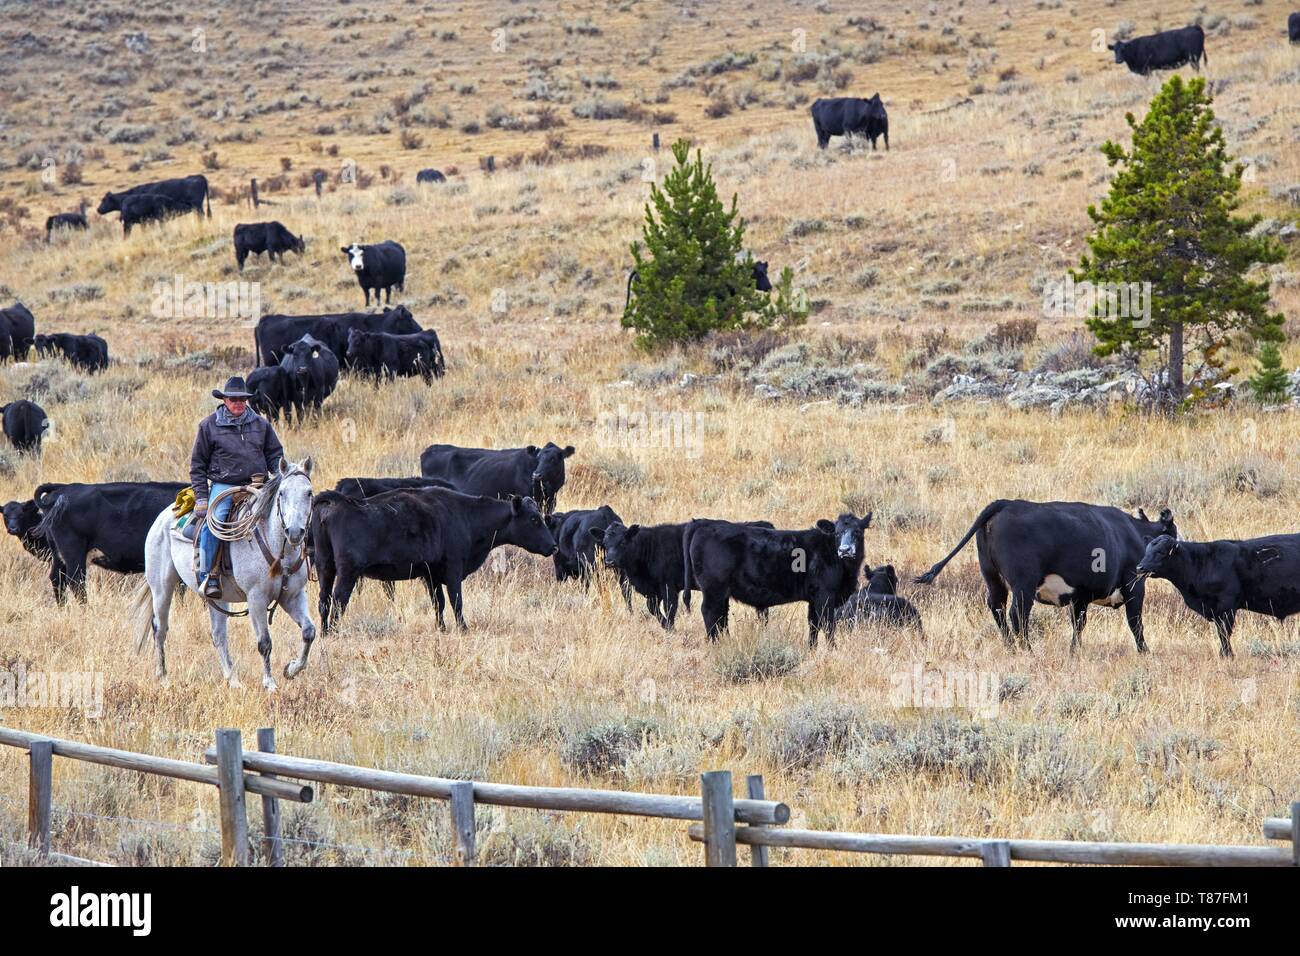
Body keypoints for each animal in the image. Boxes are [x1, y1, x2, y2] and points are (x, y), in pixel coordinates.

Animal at [311, 487, 557, 632]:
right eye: (534, 519)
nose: (553, 546)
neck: (465, 515)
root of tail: (337, 501)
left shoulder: (431, 575)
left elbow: (438, 602)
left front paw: (442, 628)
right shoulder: (453, 569)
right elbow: (456, 601)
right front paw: (463, 628)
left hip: (325, 567)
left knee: (324, 600)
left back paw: (324, 633)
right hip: (347, 572)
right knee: (338, 600)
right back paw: (333, 632)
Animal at [684, 514, 872, 646]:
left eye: (858, 532)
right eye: (837, 533)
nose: (845, 550)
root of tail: (703, 523)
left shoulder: (814, 598)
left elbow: (813, 625)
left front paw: (812, 650)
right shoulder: (825, 595)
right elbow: (828, 625)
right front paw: (833, 650)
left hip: (722, 593)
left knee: (721, 618)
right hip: (713, 589)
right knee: (710, 613)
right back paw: (715, 645)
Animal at [915, 500, 1177, 653]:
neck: (1134, 533)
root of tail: (1007, 503)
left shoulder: (1080, 596)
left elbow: (1079, 624)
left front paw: (1074, 652)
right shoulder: (1134, 585)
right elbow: (1135, 622)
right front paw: (1145, 652)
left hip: (993, 578)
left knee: (997, 607)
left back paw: (1011, 647)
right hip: (1024, 583)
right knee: (1017, 614)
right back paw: (1027, 650)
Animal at [1136, 533, 1300, 658]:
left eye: (1160, 552)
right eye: (1146, 551)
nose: (1139, 567)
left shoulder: (1226, 606)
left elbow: (1224, 633)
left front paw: (1227, 655)